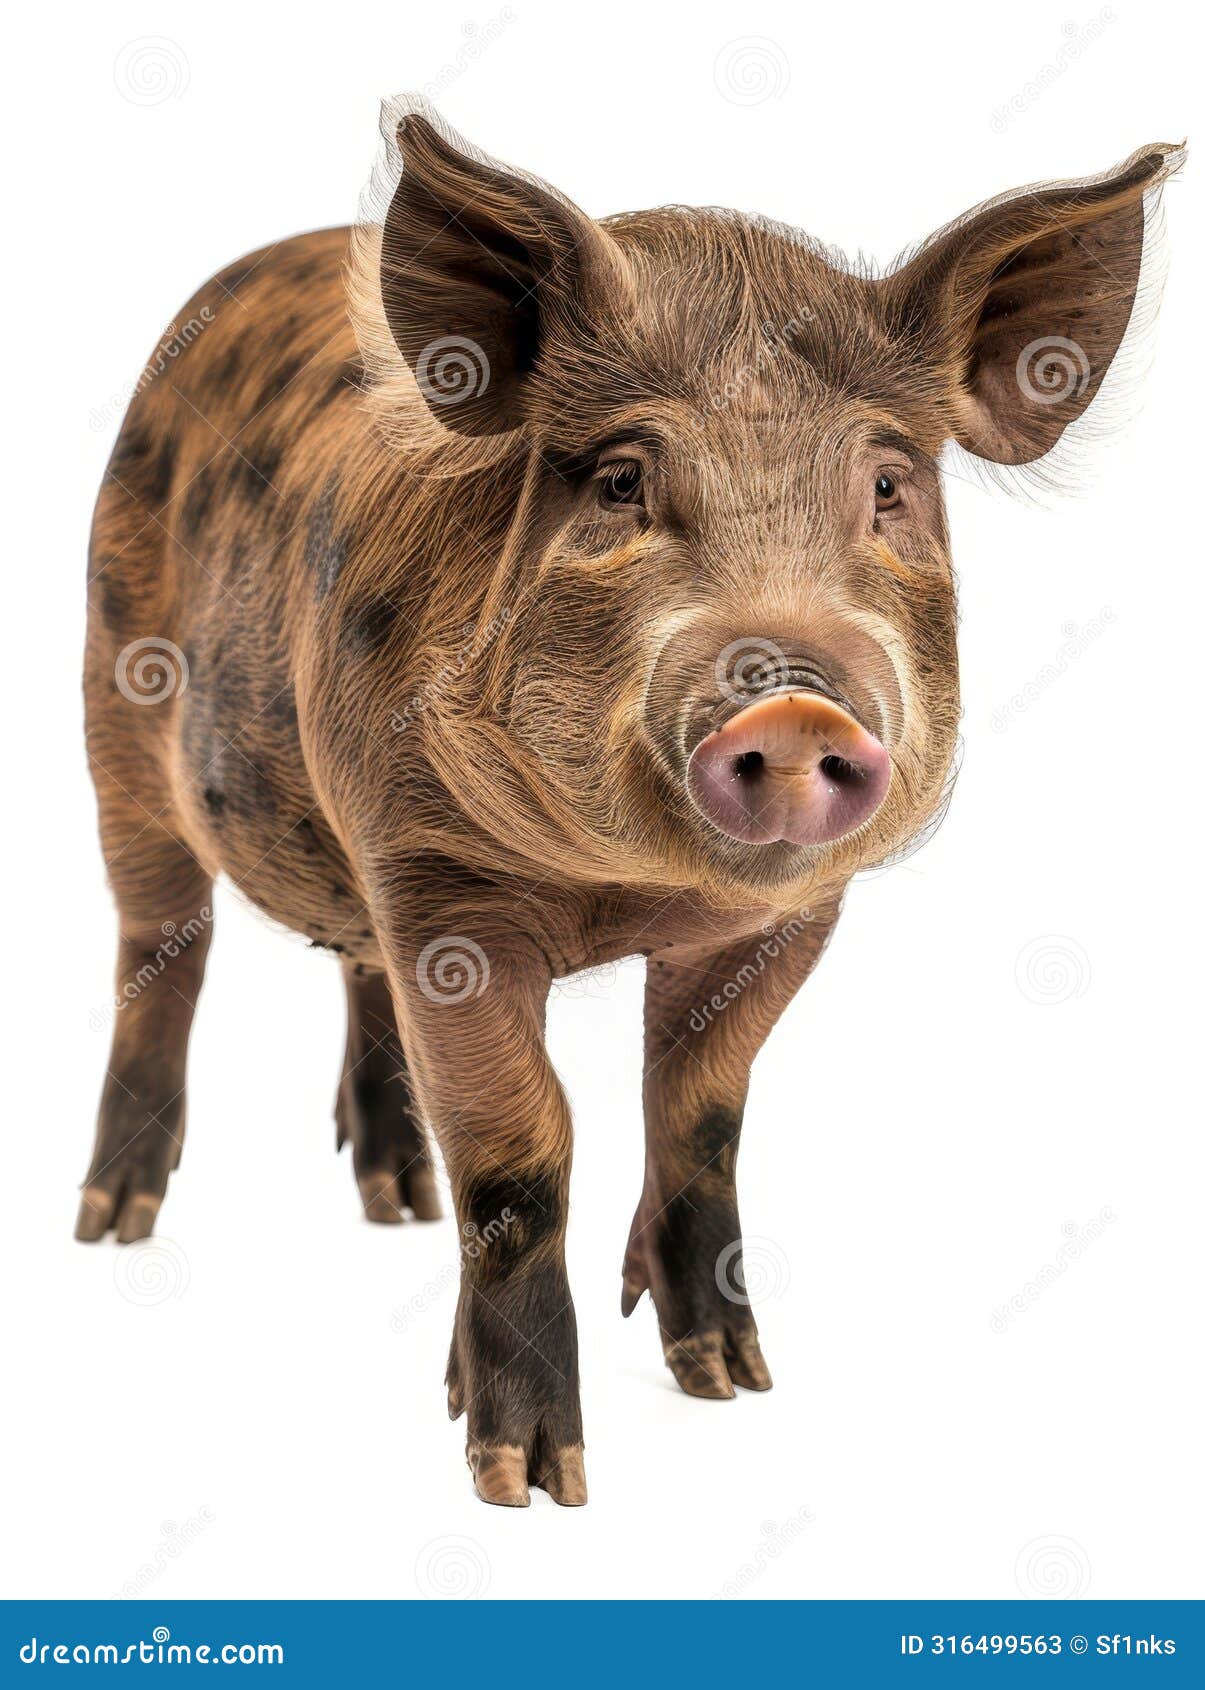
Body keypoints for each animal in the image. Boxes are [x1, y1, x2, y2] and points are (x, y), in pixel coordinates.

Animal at [80, 103, 1182, 1506]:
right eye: (618, 481)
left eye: (886, 485)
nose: (792, 705)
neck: (624, 892)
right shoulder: (438, 883)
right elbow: (520, 1145)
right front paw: (526, 1480)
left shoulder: (785, 917)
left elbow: (701, 1107)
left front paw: (728, 1381)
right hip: (110, 711)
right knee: (158, 946)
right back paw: (114, 1225)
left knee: (359, 984)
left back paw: (396, 1201)